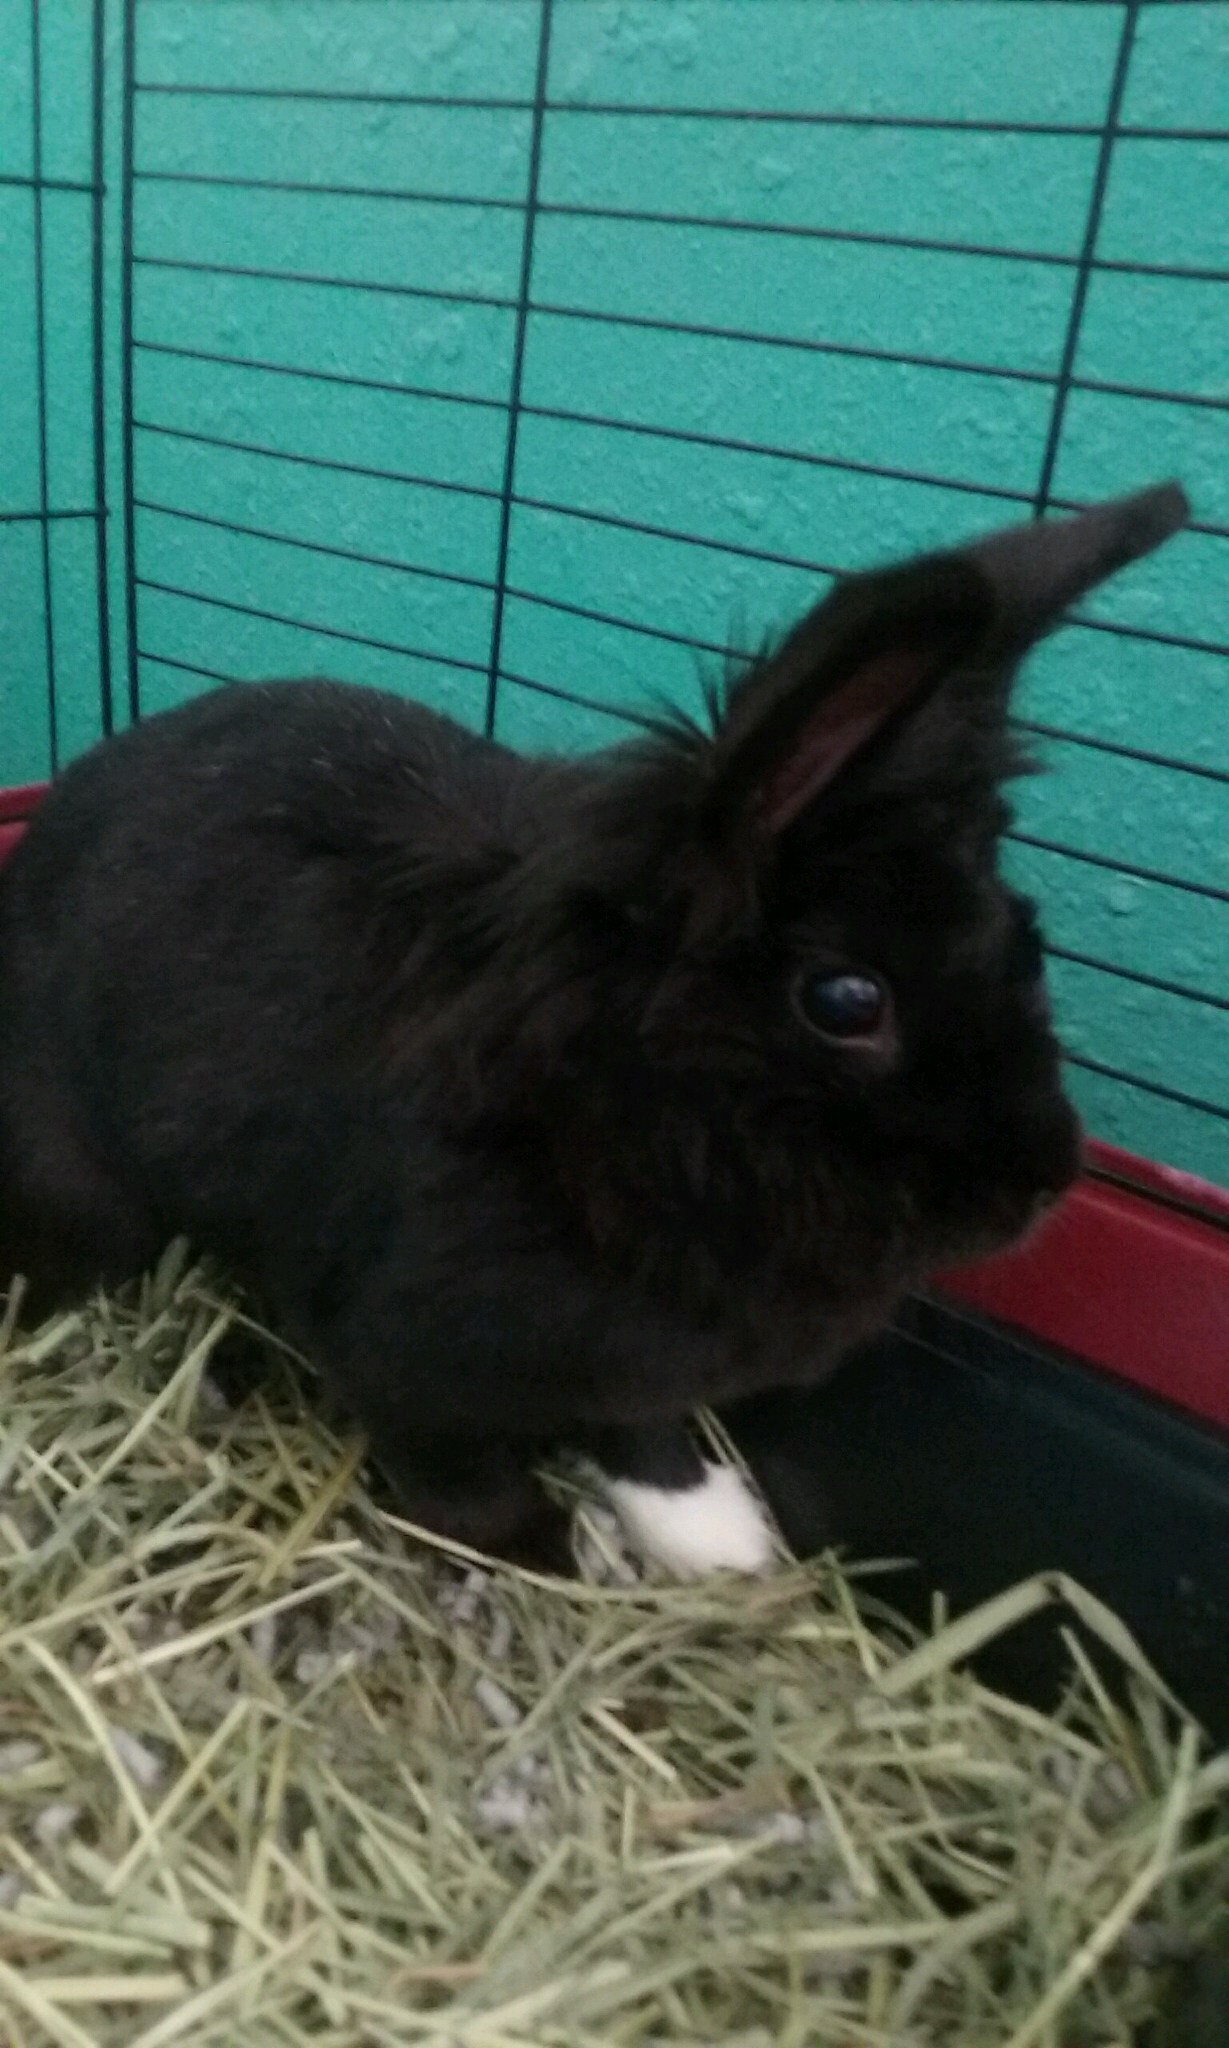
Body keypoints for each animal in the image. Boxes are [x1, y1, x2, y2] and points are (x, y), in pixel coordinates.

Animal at [0, 483, 1189, 1575]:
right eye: (846, 1000)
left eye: (1024, 936)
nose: (1042, 1181)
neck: (611, 1110)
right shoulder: (396, 1345)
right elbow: (453, 1466)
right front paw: (539, 1546)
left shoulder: (635, 1369)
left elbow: (643, 1427)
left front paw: (713, 1531)